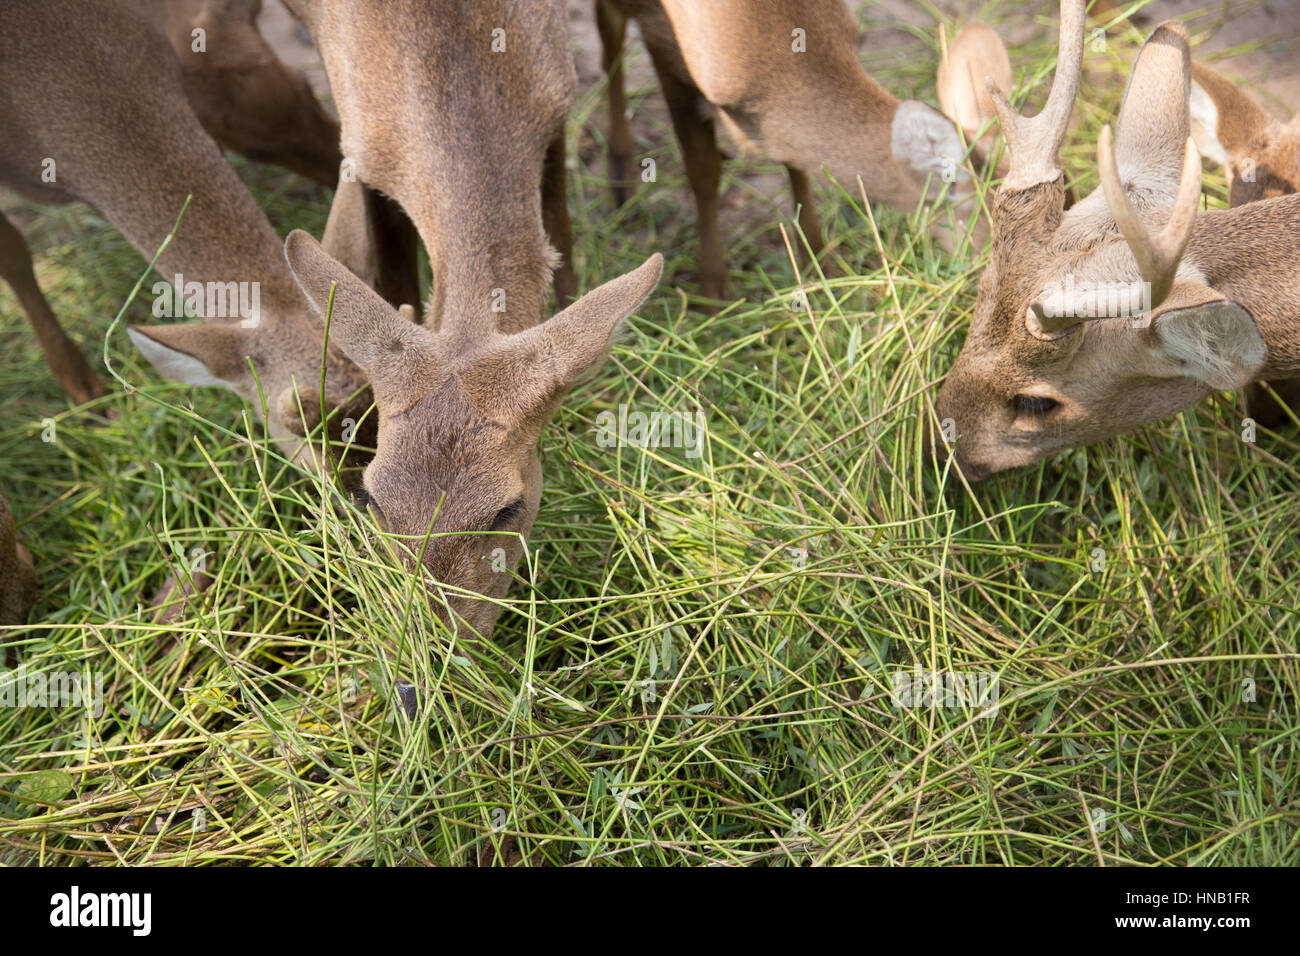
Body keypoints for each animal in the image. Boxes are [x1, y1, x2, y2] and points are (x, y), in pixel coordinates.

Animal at [595, 0, 987, 302]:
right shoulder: (664, 47)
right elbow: (704, 174)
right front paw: (715, 292)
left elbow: (797, 171)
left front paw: (820, 265)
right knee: (608, 33)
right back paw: (620, 177)